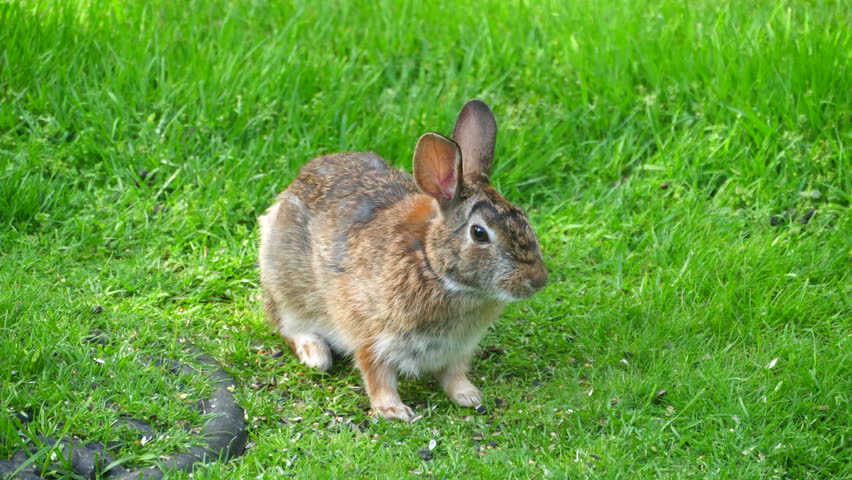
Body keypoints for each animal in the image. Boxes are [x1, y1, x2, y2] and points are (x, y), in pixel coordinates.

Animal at [258, 99, 548, 422]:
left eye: (523, 217)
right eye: (479, 233)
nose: (537, 281)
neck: (432, 265)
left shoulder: (458, 348)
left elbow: (454, 374)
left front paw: (468, 396)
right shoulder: (372, 334)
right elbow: (377, 373)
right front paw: (393, 410)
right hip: (283, 285)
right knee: (288, 327)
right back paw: (315, 353)